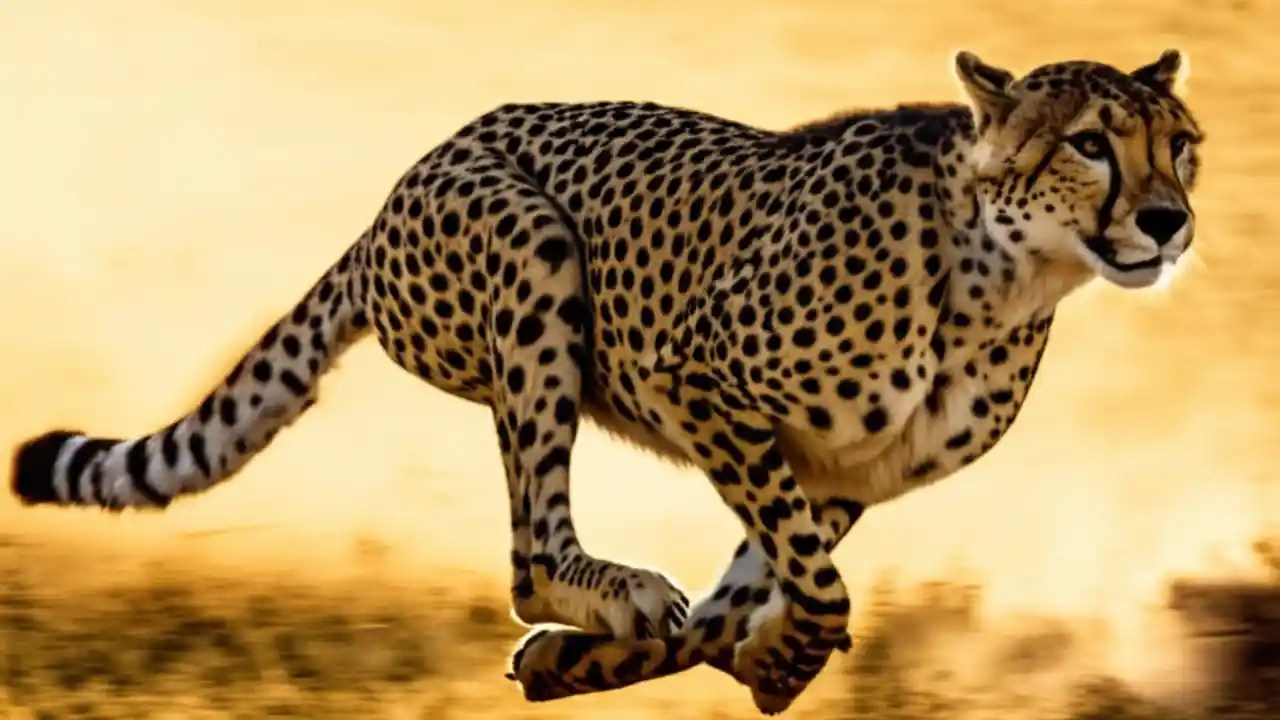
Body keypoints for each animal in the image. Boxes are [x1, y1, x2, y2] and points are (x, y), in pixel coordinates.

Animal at [9, 49, 1202, 715]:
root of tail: (424, 162)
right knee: (532, 554)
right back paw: (599, 591)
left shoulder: (838, 475)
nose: (1167, 221)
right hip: (531, 249)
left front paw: (714, 661)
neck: (1002, 274)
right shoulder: (704, 377)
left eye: (1181, 145)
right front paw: (776, 662)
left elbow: (757, 590)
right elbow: (813, 589)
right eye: (1090, 143)